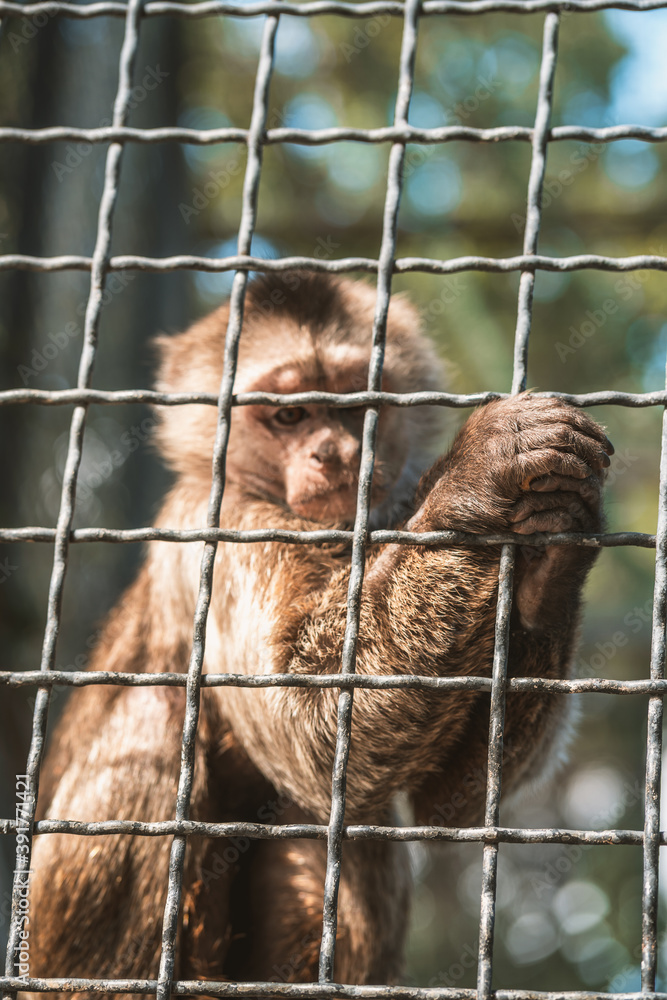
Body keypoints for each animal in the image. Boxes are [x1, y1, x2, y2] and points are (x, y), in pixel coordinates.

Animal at [25, 271, 613, 996]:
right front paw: (480, 473)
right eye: (289, 417)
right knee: (157, 722)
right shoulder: (218, 522)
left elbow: (451, 804)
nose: (334, 453)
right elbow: (308, 724)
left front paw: (546, 568)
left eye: (353, 408)